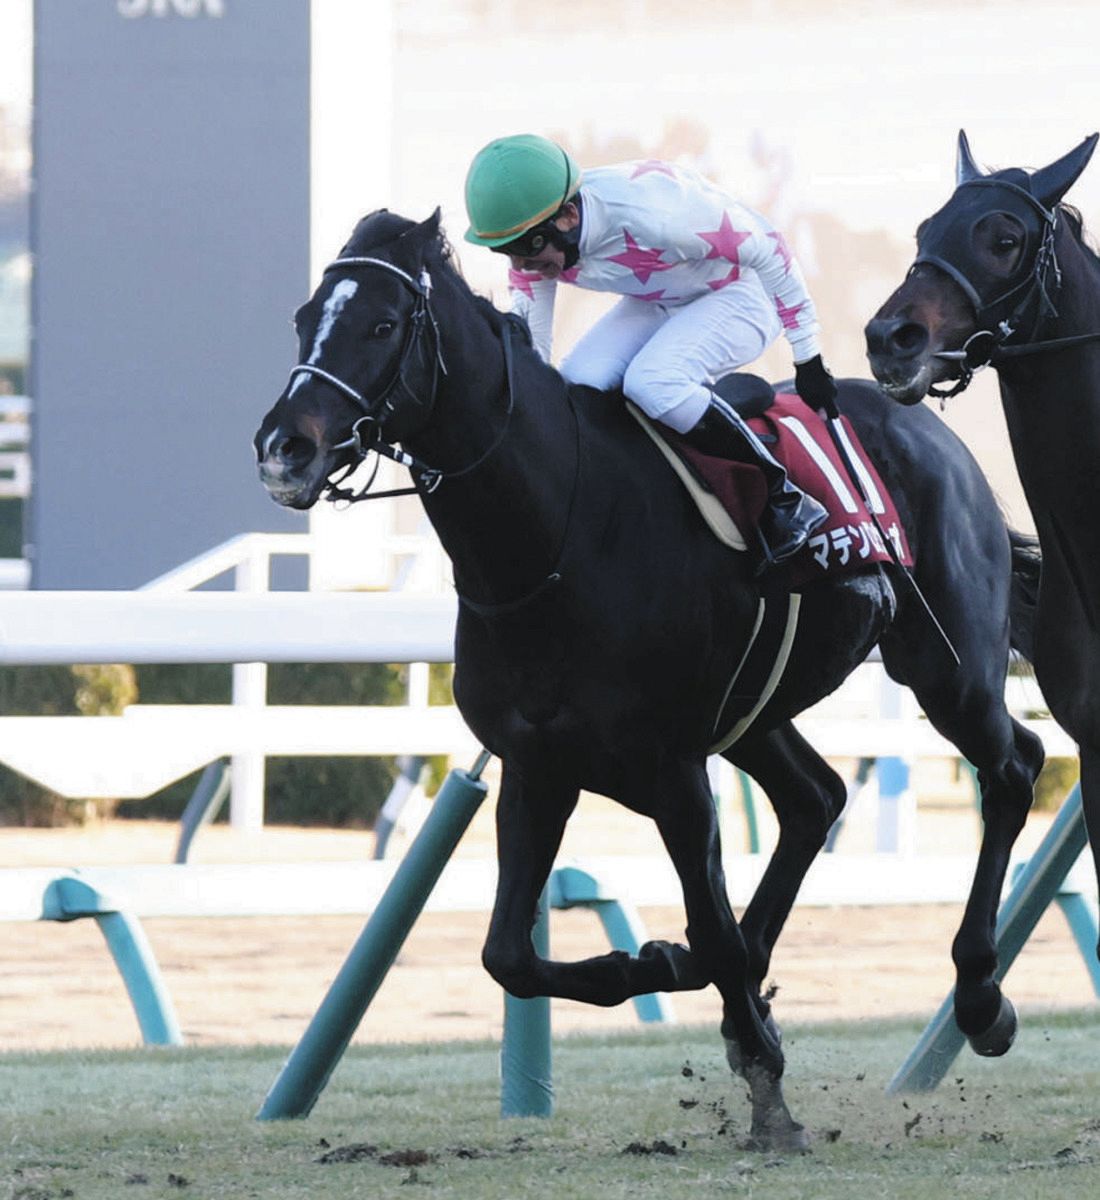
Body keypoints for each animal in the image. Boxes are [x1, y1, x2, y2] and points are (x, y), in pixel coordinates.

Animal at [255, 208, 1042, 1150]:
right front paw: (664, 967)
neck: (554, 536)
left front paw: (769, 1094)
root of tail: (936, 434)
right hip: (758, 712)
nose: (284, 447)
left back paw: (981, 997)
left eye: (380, 325)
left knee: (1013, 768)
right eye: (303, 319)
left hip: (950, 670)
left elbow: (707, 926)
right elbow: (509, 955)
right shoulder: (538, 764)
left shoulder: (673, 769)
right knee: (814, 798)